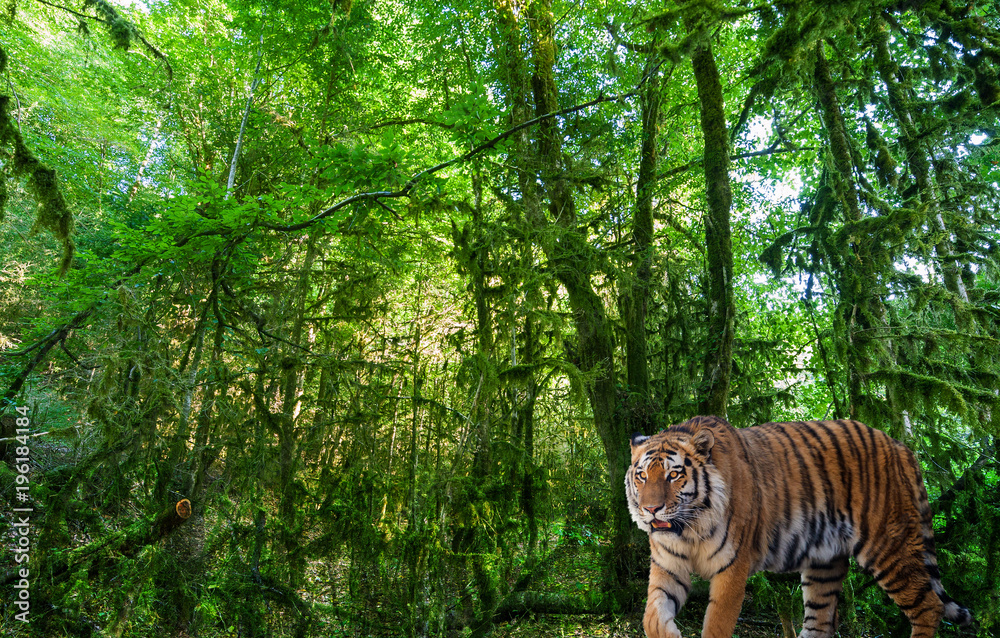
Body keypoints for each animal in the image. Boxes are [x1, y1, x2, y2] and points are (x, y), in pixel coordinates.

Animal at [626, 415, 973, 638]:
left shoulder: (732, 569)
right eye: (642, 476)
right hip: (825, 564)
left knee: (929, 606)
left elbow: (716, 625)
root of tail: (901, 447)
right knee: (821, 623)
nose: (650, 509)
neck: (688, 529)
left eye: (673, 475)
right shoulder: (667, 565)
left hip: (889, 547)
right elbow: (652, 616)